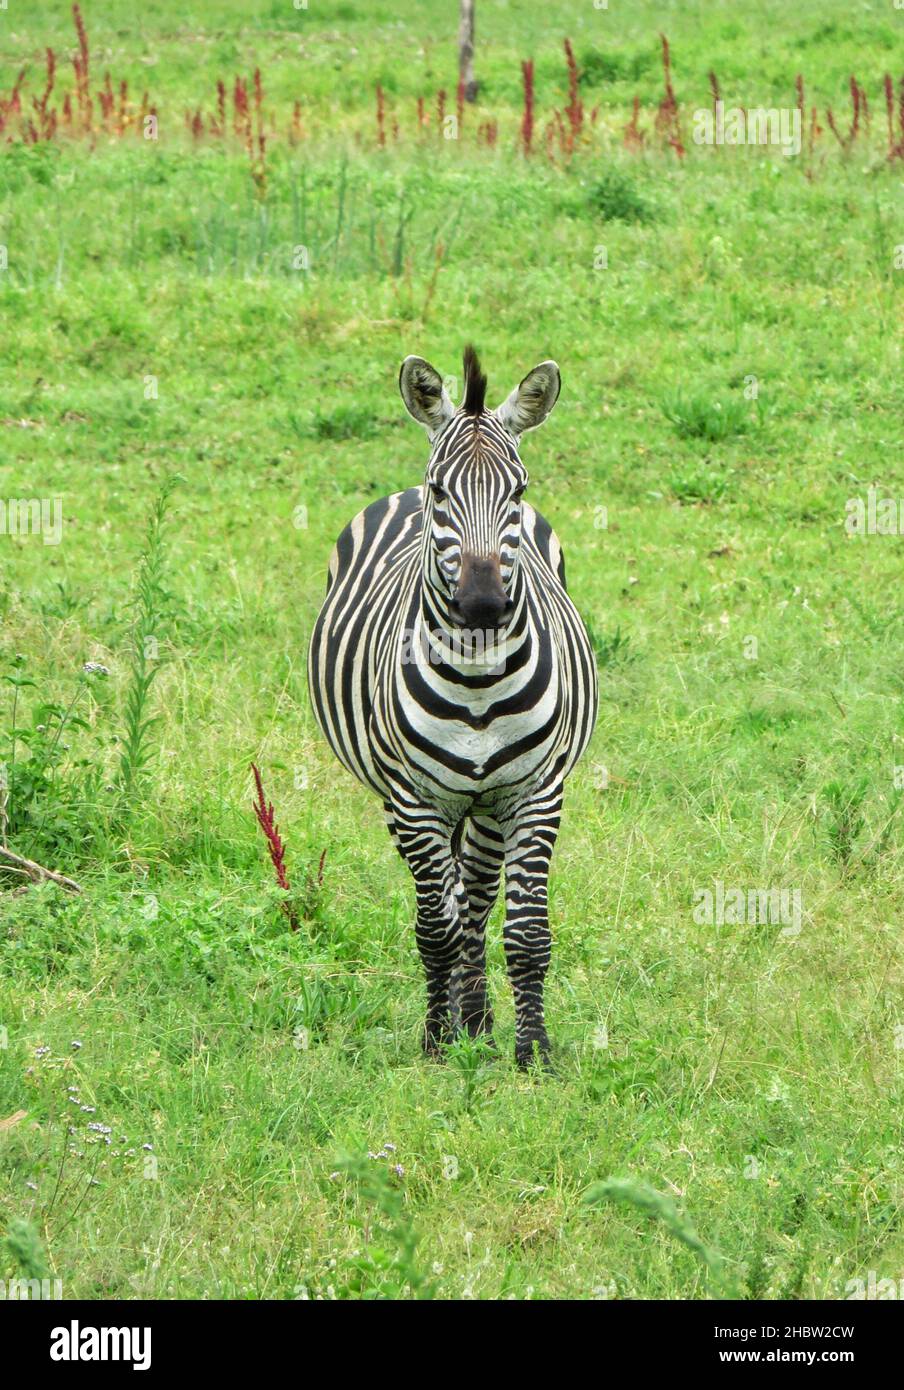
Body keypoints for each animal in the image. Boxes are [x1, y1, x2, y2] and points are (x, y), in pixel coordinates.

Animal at [308, 348, 598, 1067]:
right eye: (442, 493)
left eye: (518, 493)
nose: (483, 606)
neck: (476, 683)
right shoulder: (415, 800)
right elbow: (436, 927)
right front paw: (438, 1041)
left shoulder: (534, 793)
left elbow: (524, 932)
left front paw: (531, 1050)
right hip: (402, 797)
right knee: (453, 899)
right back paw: (465, 1020)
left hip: (486, 804)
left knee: (477, 895)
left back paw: (481, 1018)